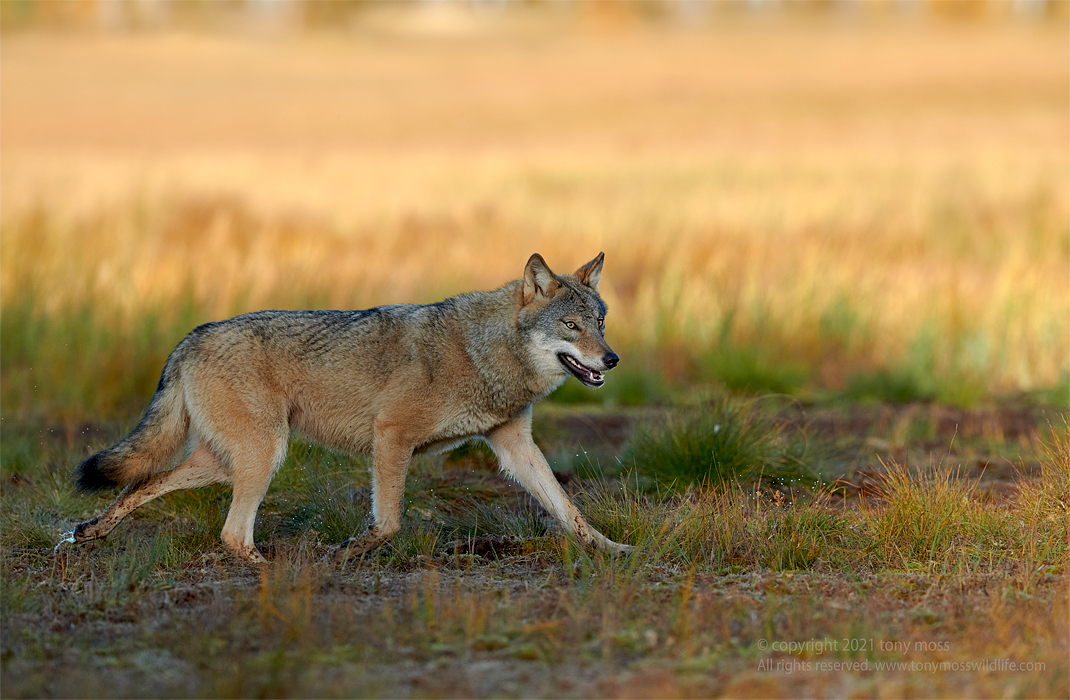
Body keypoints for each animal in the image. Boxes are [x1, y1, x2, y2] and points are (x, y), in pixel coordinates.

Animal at [60, 253, 632, 563]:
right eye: (571, 326)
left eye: (601, 322)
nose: (612, 359)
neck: (484, 353)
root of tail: (191, 337)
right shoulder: (391, 436)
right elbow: (389, 523)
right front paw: (347, 553)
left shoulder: (516, 447)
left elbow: (569, 510)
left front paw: (613, 551)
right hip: (262, 456)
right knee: (231, 533)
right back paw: (273, 573)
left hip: (223, 463)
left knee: (142, 485)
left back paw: (88, 533)